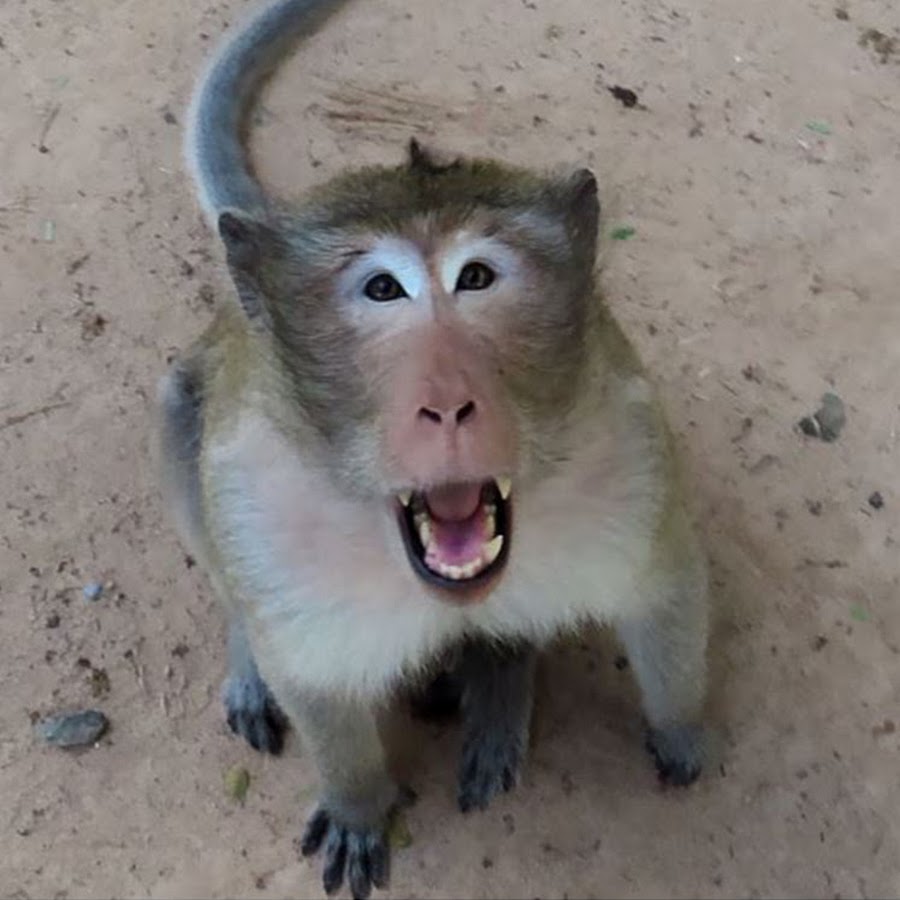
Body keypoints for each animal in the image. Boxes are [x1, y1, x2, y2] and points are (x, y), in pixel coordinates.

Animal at [157, 1, 712, 897]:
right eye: (383, 290)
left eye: (477, 277)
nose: (448, 401)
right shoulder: (266, 518)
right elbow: (310, 678)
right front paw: (358, 804)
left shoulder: (627, 453)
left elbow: (667, 589)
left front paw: (683, 730)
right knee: (180, 421)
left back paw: (499, 684)